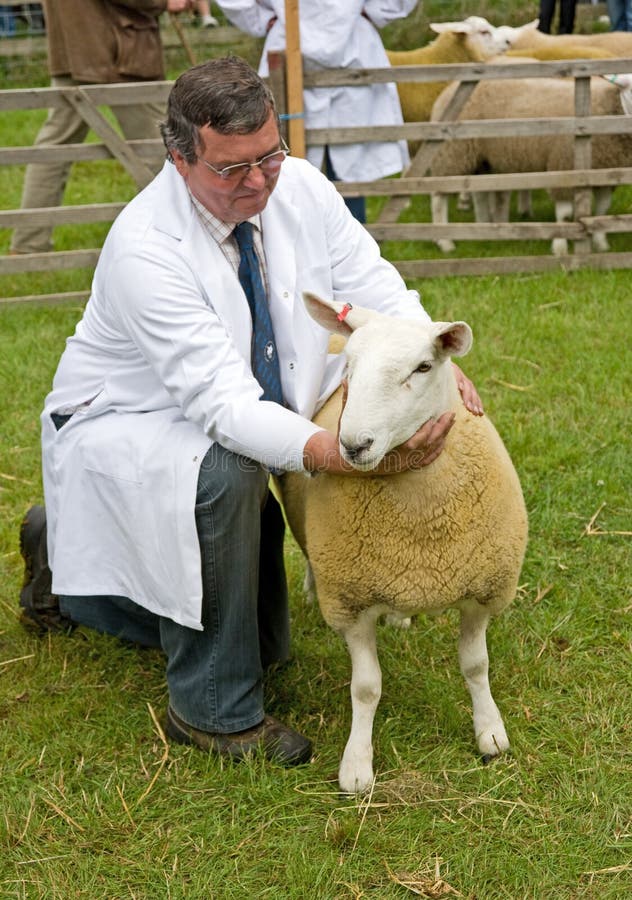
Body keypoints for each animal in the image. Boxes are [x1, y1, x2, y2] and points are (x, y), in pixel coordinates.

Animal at [278, 293, 528, 794]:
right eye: (349, 367)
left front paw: (490, 731)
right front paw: (357, 764)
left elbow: (476, 666)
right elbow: (366, 687)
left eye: (423, 367)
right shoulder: (351, 602)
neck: (422, 520)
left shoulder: (482, 592)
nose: (354, 446)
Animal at [429, 74, 632, 255]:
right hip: (452, 153)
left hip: (484, 160)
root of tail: (449, 89)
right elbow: (565, 215)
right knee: (438, 196)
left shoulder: (606, 174)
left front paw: (601, 244)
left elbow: (602, 211)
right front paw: (560, 248)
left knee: (480, 192)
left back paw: (485, 228)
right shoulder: (564, 168)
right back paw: (445, 242)